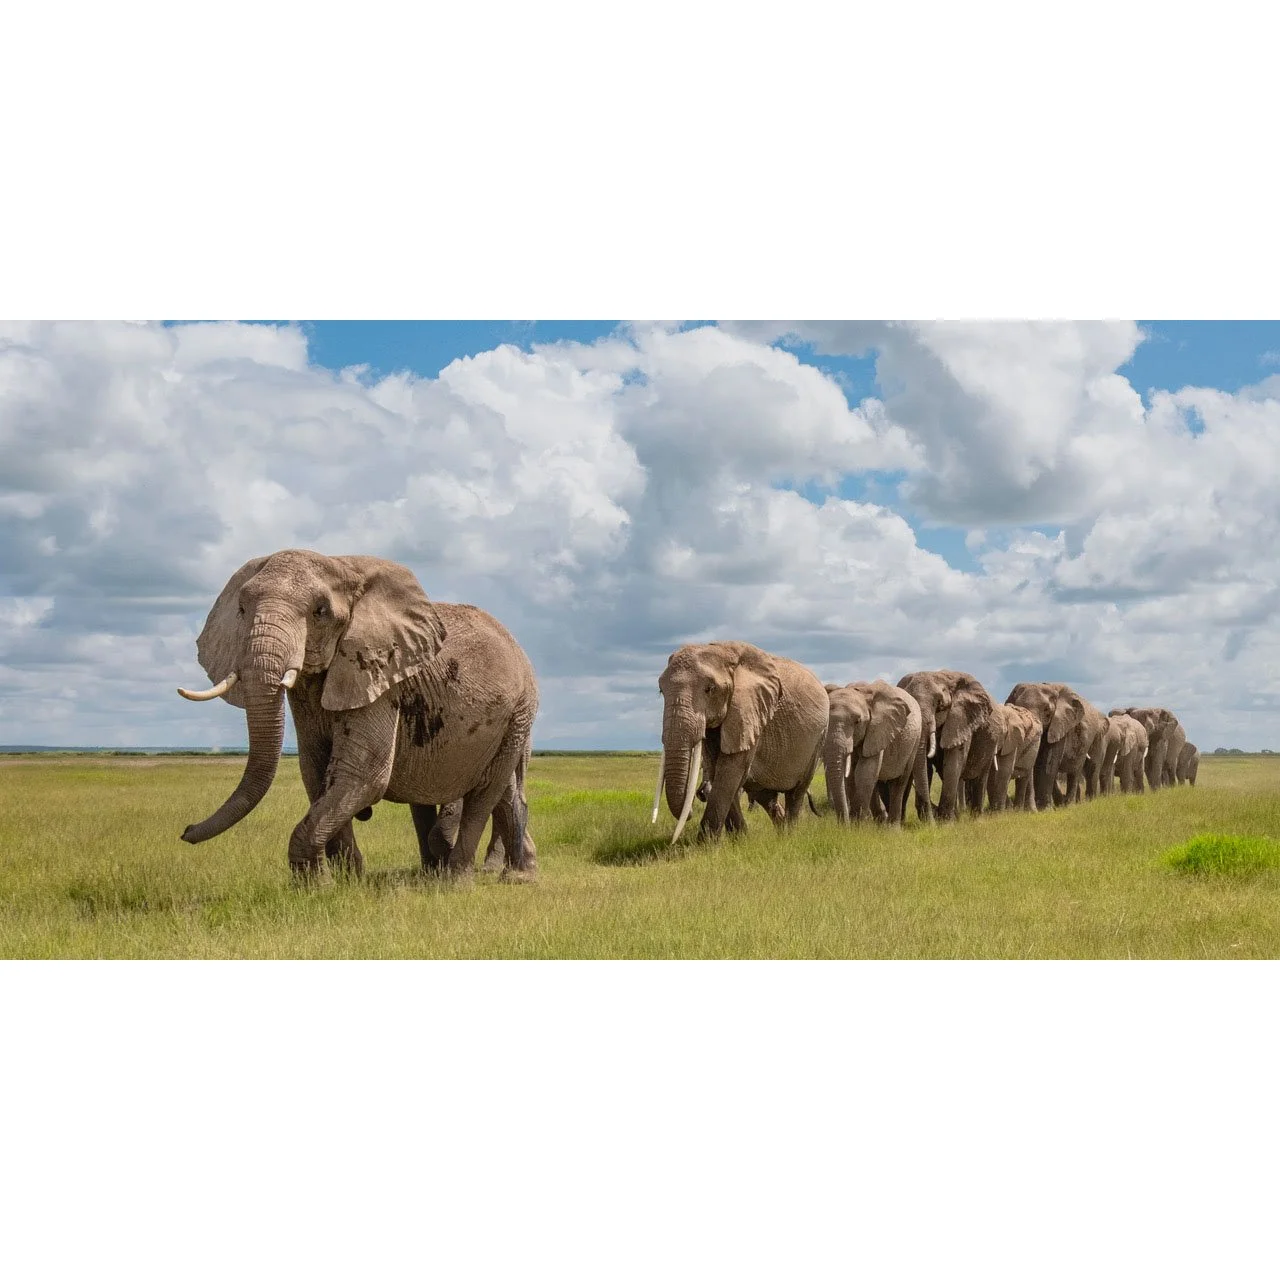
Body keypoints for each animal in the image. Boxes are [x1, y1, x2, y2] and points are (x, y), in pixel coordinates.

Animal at [177, 549, 538, 880]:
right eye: (240, 609)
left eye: (319, 612)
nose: (185, 830)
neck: (342, 566)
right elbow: (317, 771)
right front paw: (349, 879)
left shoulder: (379, 673)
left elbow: (362, 773)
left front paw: (316, 886)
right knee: (503, 791)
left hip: (520, 713)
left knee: (487, 790)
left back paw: (466, 880)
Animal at [653, 642, 828, 843]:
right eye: (661, 690)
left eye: (710, 689)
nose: (688, 812)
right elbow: (717, 768)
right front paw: (740, 838)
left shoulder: (751, 713)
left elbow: (730, 769)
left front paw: (706, 844)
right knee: (765, 795)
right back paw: (780, 832)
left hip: (819, 739)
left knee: (796, 792)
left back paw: (788, 836)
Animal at [822, 681, 921, 824]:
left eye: (857, 722)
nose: (844, 825)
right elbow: (852, 776)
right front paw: (854, 823)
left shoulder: (878, 730)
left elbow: (864, 772)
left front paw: (857, 824)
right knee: (876, 782)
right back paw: (880, 821)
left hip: (915, 740)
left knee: (899, 781)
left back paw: (892, 826)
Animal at [896, 670, 996, 821]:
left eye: (939, 704)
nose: (931, 822)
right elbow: (925, 767)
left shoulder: (961, 719)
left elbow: (954, 761)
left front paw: (946, 822)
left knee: (980, 776)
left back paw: (976, 819)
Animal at [1005, 682, 1088, 811]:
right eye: (1018, 708)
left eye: (1047, 711)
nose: (1031, 810)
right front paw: (1033, 810)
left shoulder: (1059, 724)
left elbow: (1048, 762)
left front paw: (1044, 810)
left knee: (1074, 771)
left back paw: (1067, 805)